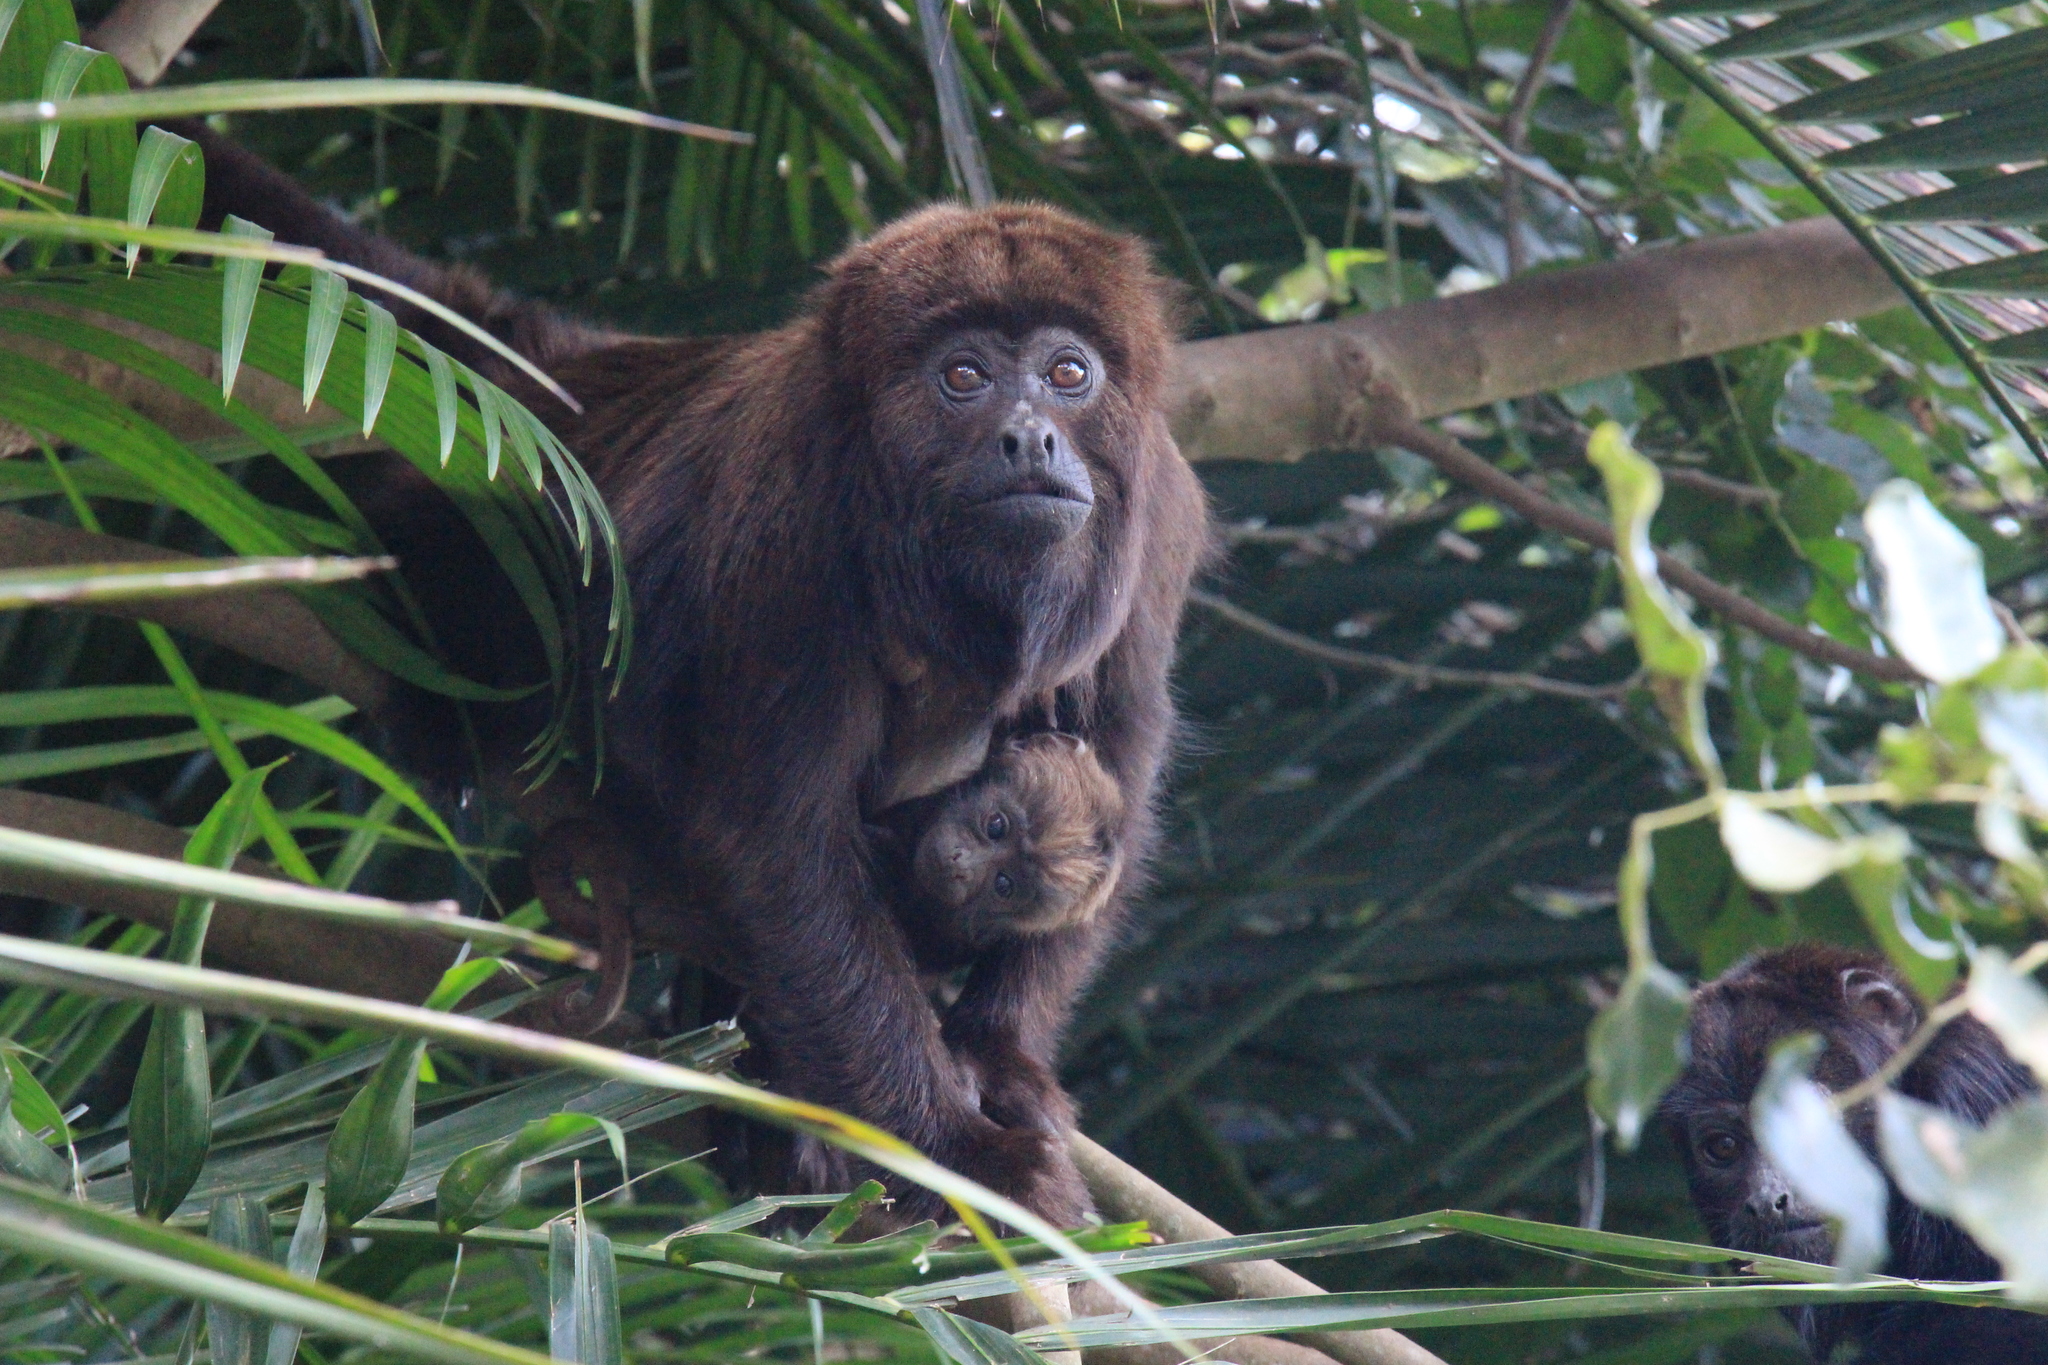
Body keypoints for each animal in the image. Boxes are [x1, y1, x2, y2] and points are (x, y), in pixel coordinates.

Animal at [170, 122, 1213, 1227]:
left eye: (1069, 371)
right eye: (964, 377)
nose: (1029, 435)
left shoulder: (1153, 533)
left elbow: (1114, 789)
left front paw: (1000, 1055)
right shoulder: (792, 524)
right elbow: (784, 848)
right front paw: (960, 1155)